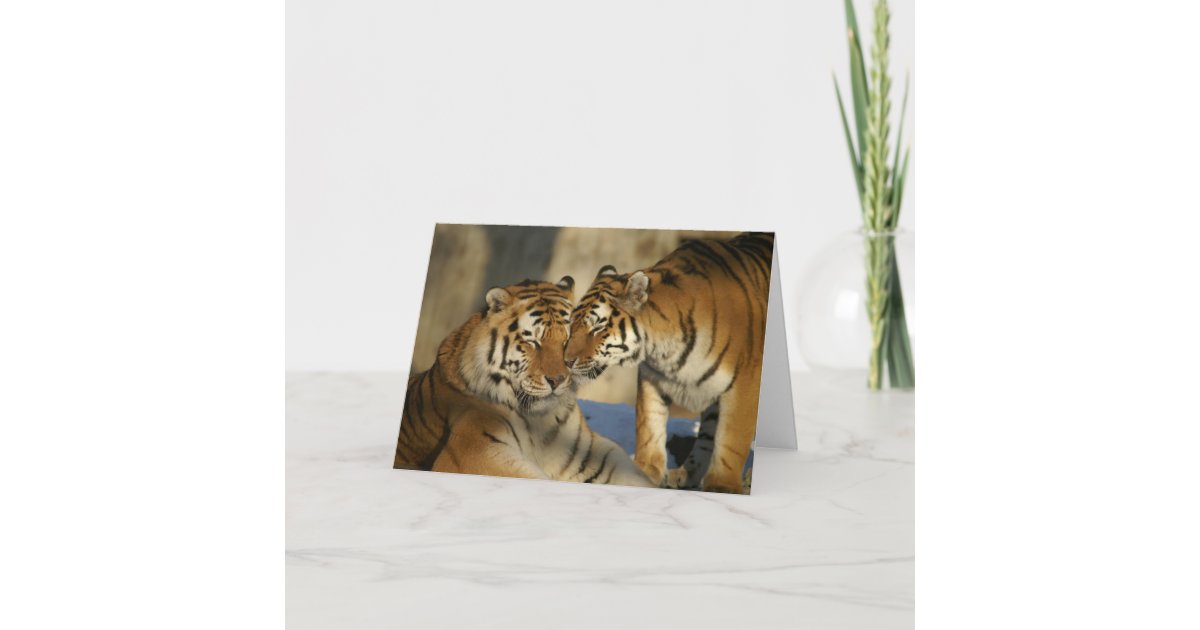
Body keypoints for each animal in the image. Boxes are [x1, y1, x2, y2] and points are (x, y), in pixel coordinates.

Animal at [394, 277, 653, 488]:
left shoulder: (590, 455)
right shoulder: (472, 451)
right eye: (533, 342)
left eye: (568, 338)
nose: (557, 379)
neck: (541, 422)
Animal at [564, 232, 774, 494]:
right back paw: (685, 474)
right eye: (573, 325)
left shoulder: (745, 381)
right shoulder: (652, 378)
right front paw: (644, 471)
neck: (663, 349)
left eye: (597, 328)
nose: (566, 360)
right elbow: (649, 427)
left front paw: (722, 486)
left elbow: (731, 439)